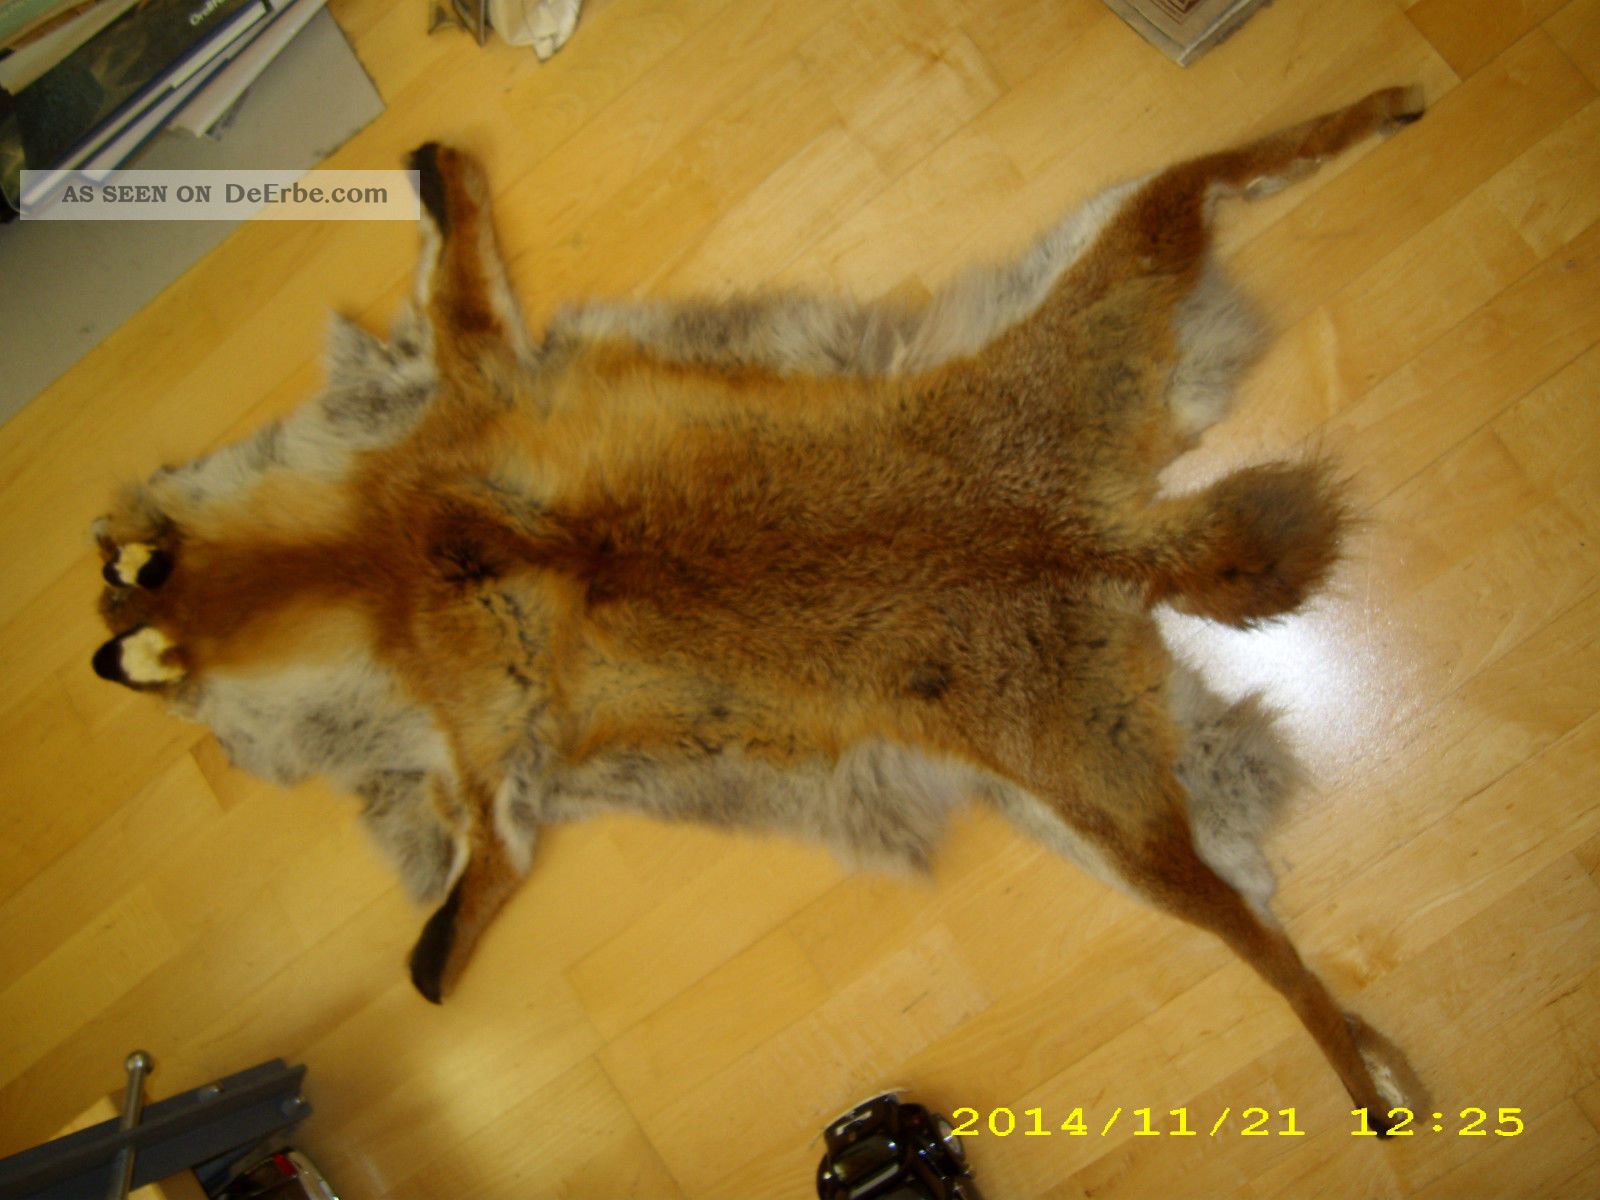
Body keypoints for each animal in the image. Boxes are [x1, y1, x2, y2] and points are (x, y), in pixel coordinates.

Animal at [91, 88, 1429, 1130]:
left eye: (113, 577)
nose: (98, 655)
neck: (381, 566)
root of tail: (1108, 535)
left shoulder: (488, 714)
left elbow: (476, 878)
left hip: (1120, 822)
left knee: (1273, 966)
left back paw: (1360, 1079)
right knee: (1220, 171)